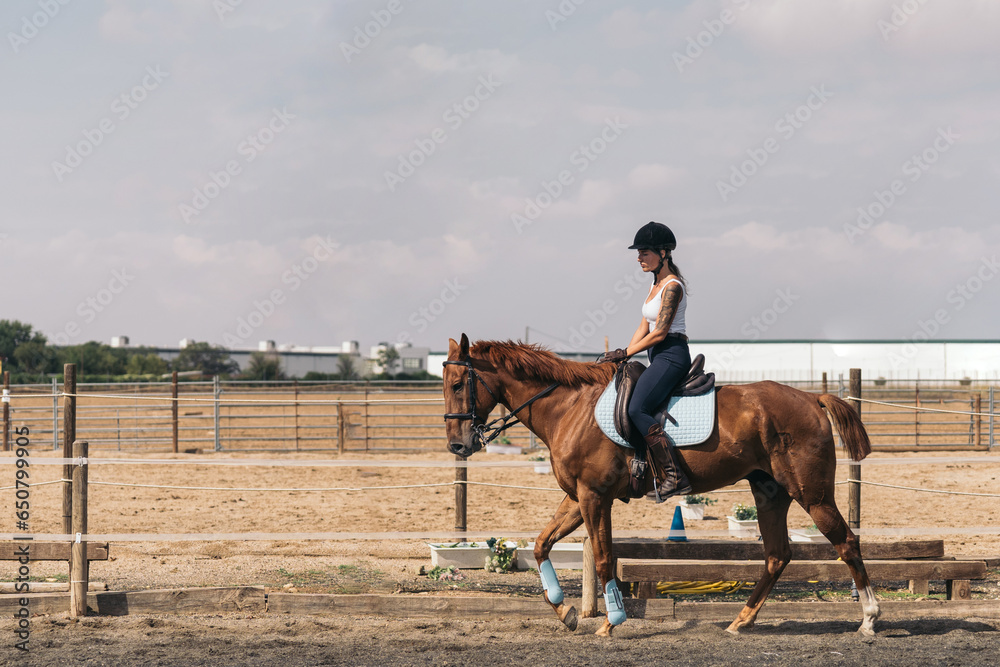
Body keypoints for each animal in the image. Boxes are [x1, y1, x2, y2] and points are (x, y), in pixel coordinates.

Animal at [442, 334, 880, 637]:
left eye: (459, 384)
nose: (457, 445)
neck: (569, 408)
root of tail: (812, 397)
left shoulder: (594, 497)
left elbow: (604, 558)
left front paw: (611, 621)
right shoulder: (576, 497)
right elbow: (540, 545)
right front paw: (565, 613)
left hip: (812, 494)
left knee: (846, 542)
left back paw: (869, 619)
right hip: (770, 492)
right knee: (777, 555)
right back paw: (741, 621)